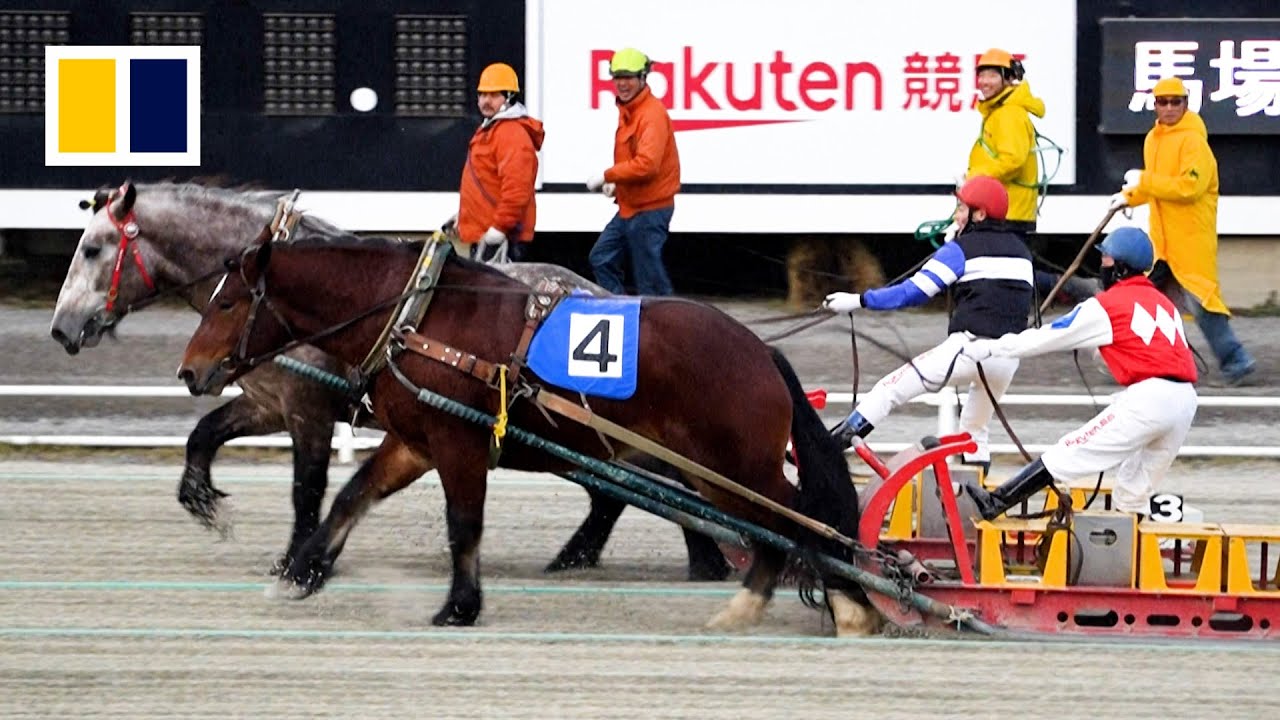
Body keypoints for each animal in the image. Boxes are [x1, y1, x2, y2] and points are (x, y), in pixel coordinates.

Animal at [48, 180, 730, 581]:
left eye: (93, 248)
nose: (61, 329)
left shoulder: (308, 410)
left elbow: (307, 488)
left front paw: (299, 559)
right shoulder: (269, 402)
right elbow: (204, 435)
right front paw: (202, 498)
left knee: (655, 483)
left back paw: (700, 555)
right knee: (620, 490)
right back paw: (594, 556)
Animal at [176, 233, 877, 635]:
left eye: (228, 302)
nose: (191, 370)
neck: (420, 315)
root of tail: (760, 351)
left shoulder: (457, 443)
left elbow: (463, 523)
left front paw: (460, 605)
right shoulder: (415, 441)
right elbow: (351, 496)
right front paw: (301, 571)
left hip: (732, 466)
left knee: (798, 521)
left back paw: (812, 601)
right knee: (781, 525)